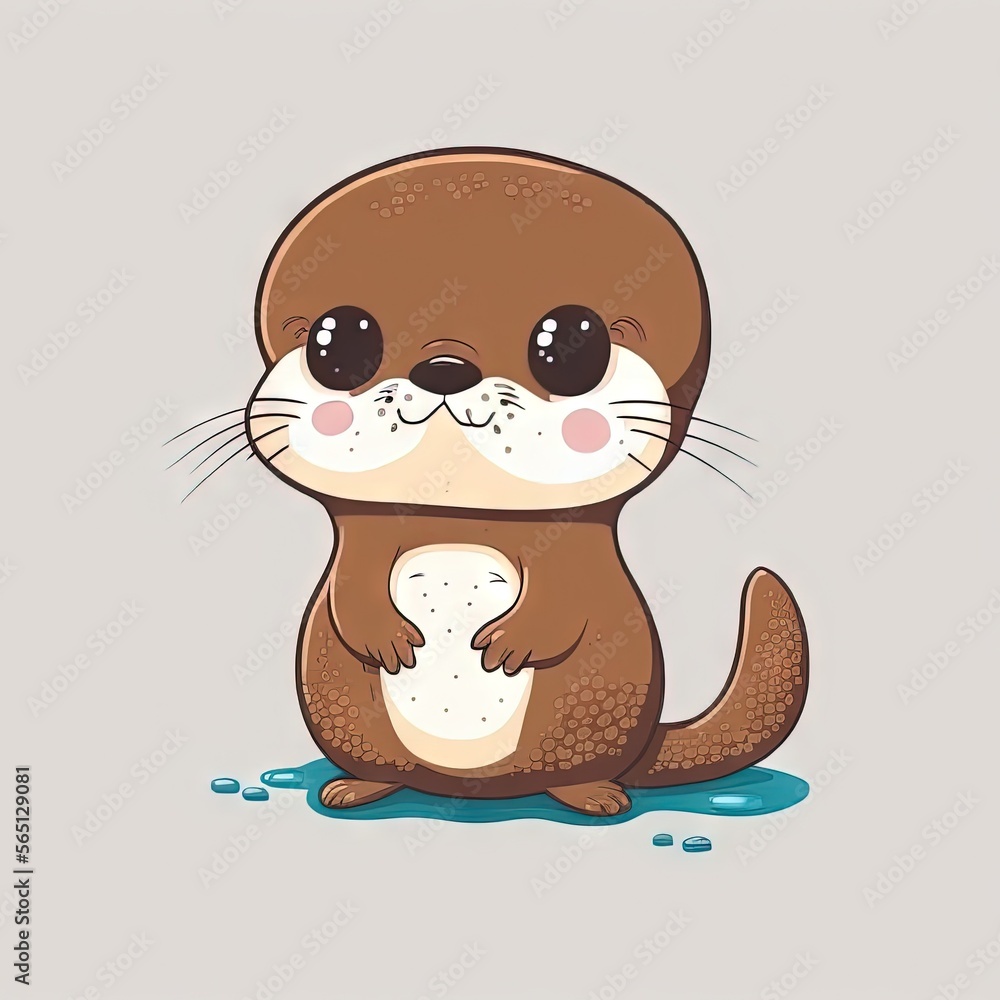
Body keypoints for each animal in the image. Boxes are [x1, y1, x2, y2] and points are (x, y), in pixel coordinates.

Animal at [235, 148, 807, 815]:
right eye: (339, 340)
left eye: (573, 341)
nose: (444, 367)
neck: (462, 516)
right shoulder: (365, 538)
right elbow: (352, 586)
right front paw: (384, 636)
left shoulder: (574, 549)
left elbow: (566, 596)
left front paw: (516, 642)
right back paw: (360, 784)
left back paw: (590, 793)